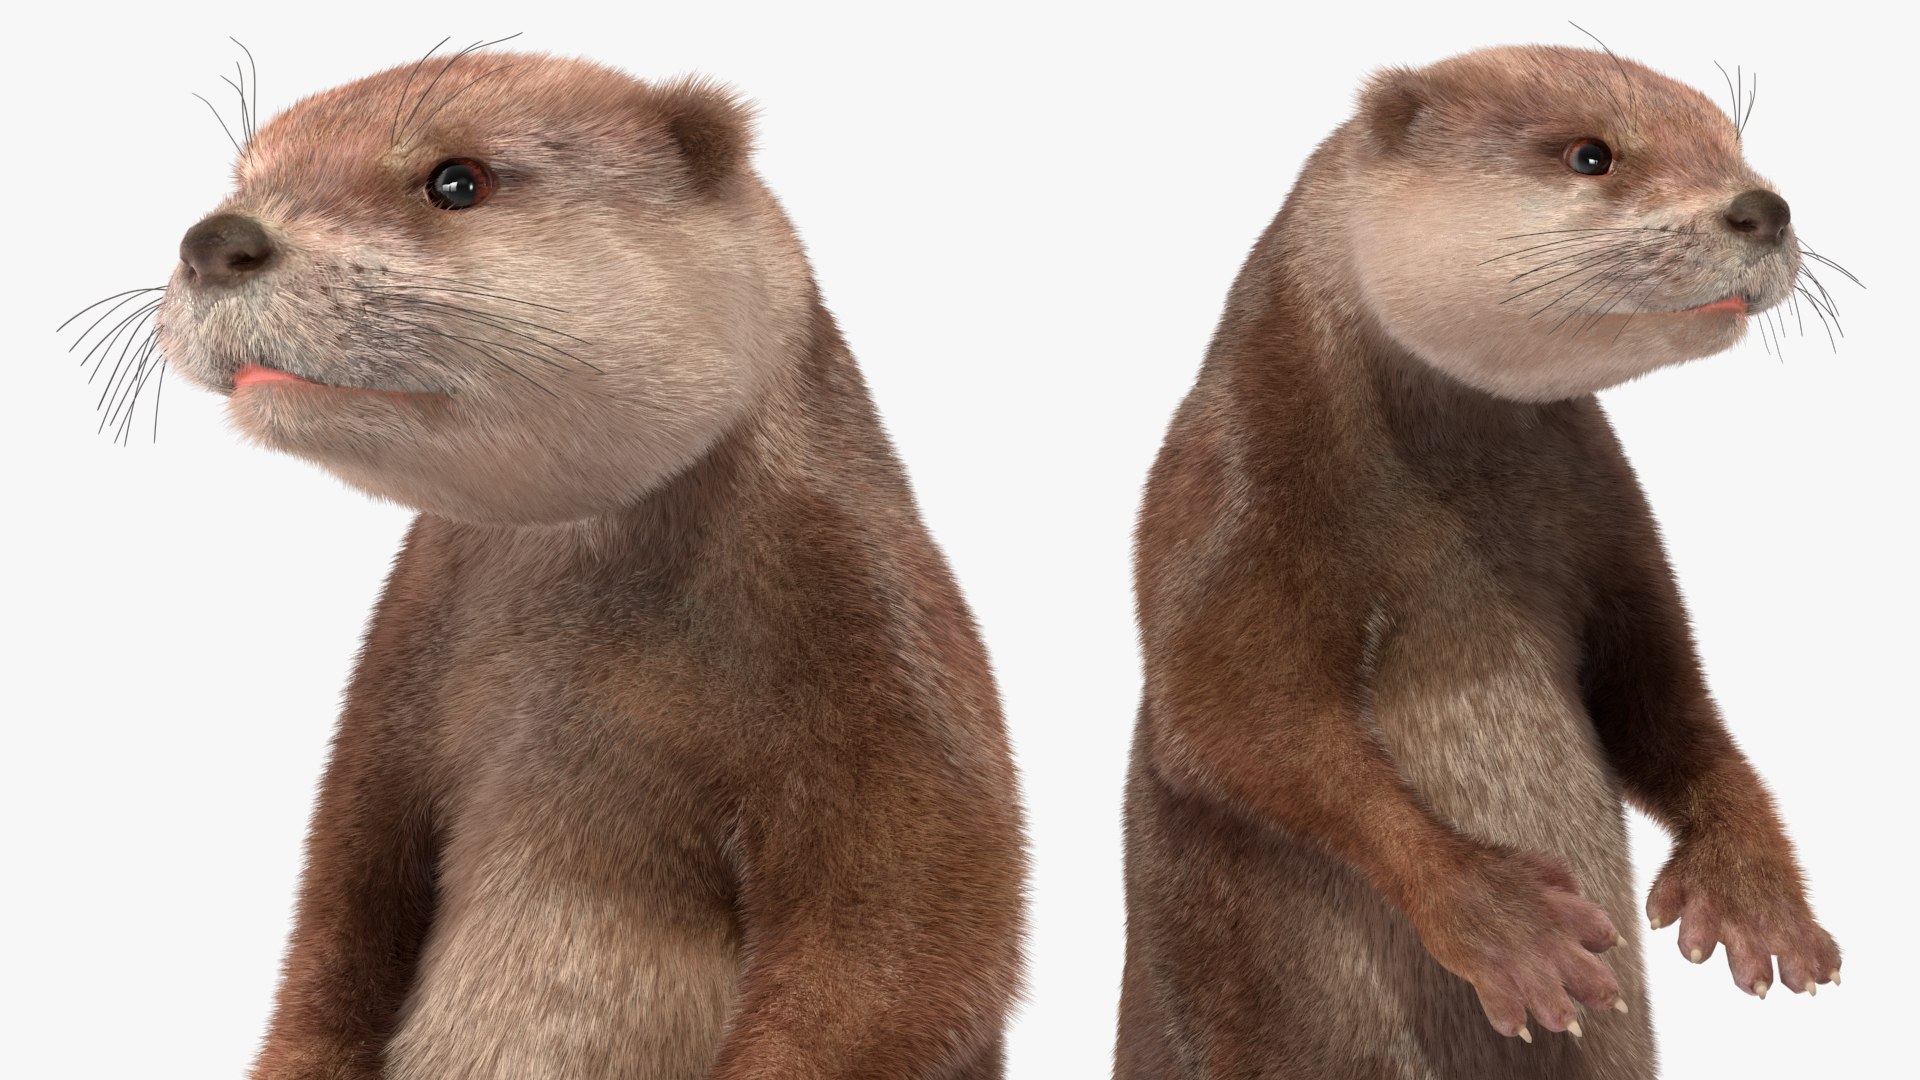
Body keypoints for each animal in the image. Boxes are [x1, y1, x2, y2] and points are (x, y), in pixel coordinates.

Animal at [143, 49, 1026, 1079]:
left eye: (456, 179)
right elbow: (336, 920)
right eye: (244, 175)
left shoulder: (877, 634)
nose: (217, 239)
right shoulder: (393, 680)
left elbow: (916, 936)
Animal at [1118, 45, 1841, 1079]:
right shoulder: (1232, 490)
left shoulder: (1613, 526)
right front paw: (1505, 921)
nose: (1763, 207)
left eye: (1731, 139)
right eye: (1591, 154)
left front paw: (1755, 894)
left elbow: (1664, 696)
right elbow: (1230, 720)